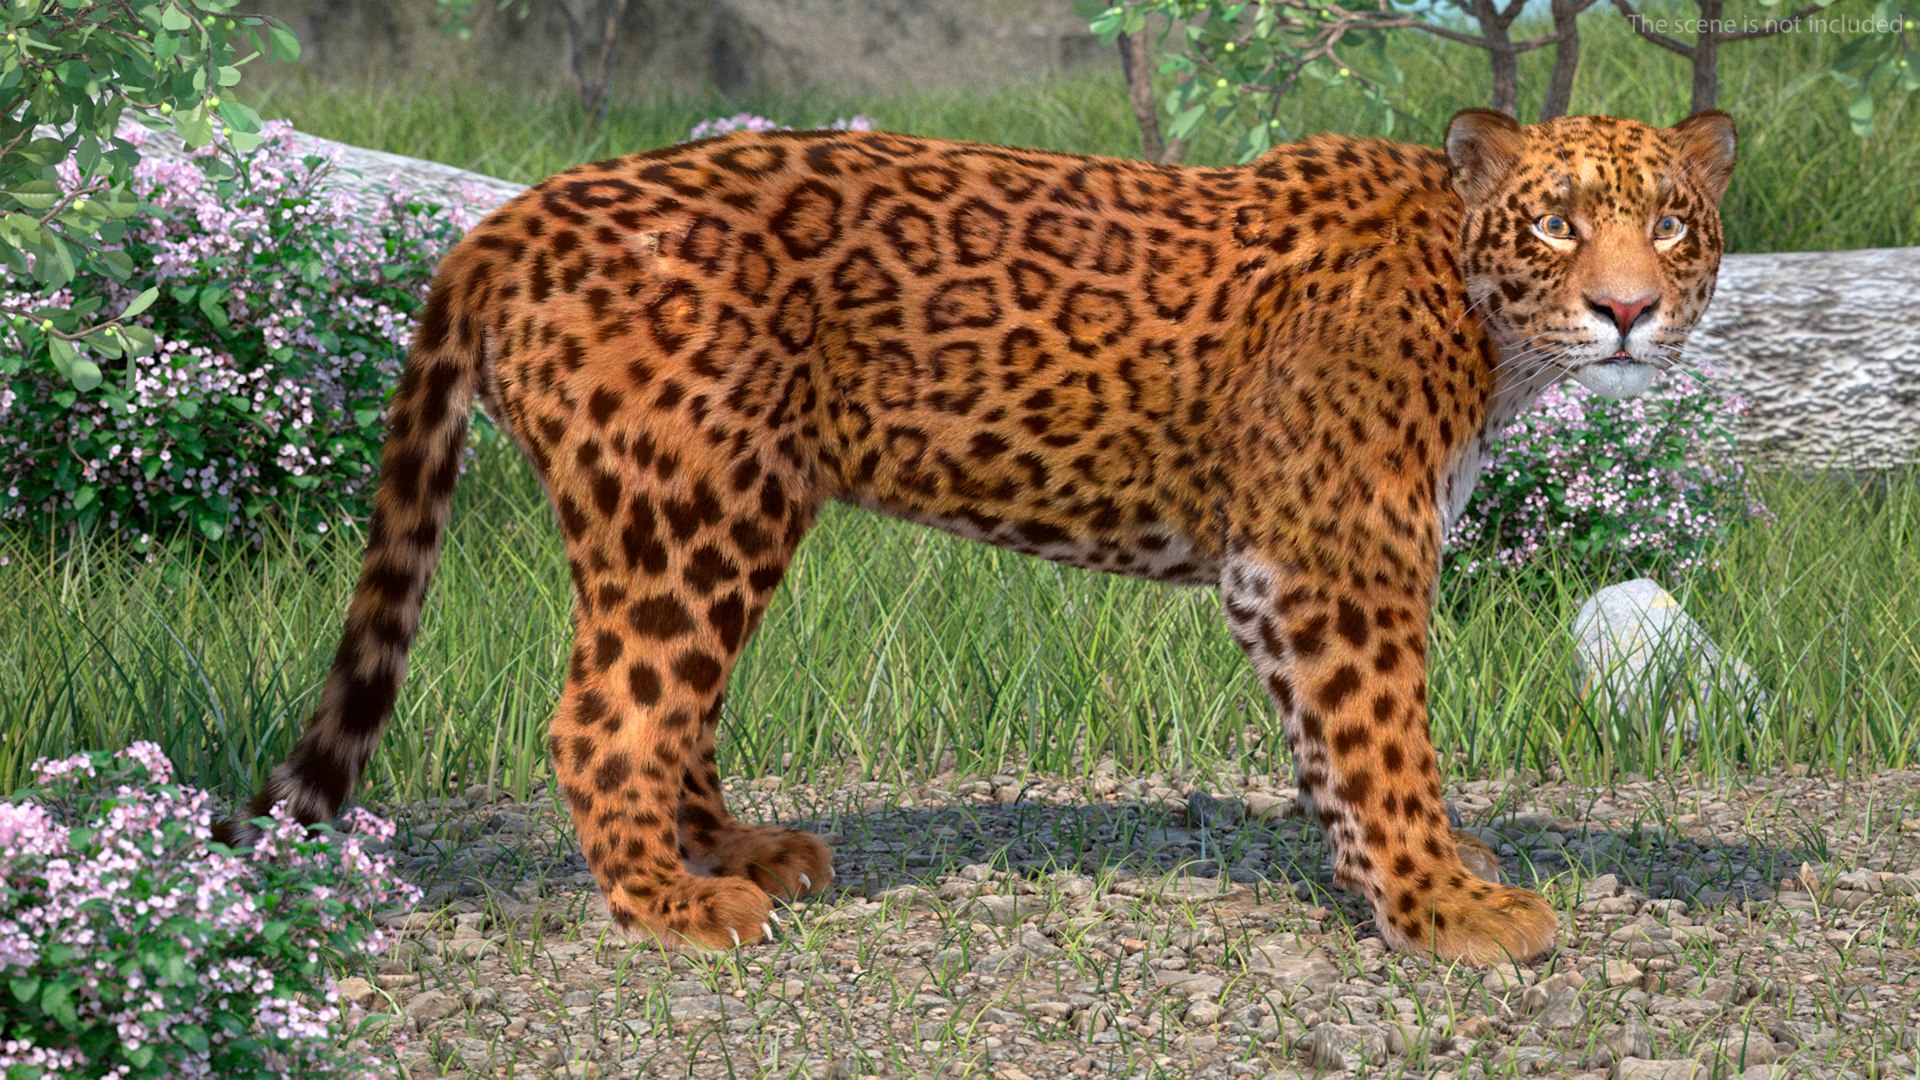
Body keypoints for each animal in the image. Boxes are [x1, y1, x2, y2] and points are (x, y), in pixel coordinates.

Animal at [216, 107, 1737, 964]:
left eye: (1672, 225)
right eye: (1557, 223)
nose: (1625, 312)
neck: (1486, 322)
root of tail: (509, 217)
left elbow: (1349, 755)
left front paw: (1432, 878)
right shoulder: (1330, 558)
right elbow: (1379, 745)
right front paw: (1441, 909)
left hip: (707, 511)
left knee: (671, 705)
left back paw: (735, 853)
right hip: (693, 507)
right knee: (608, 713)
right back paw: (671, 903)